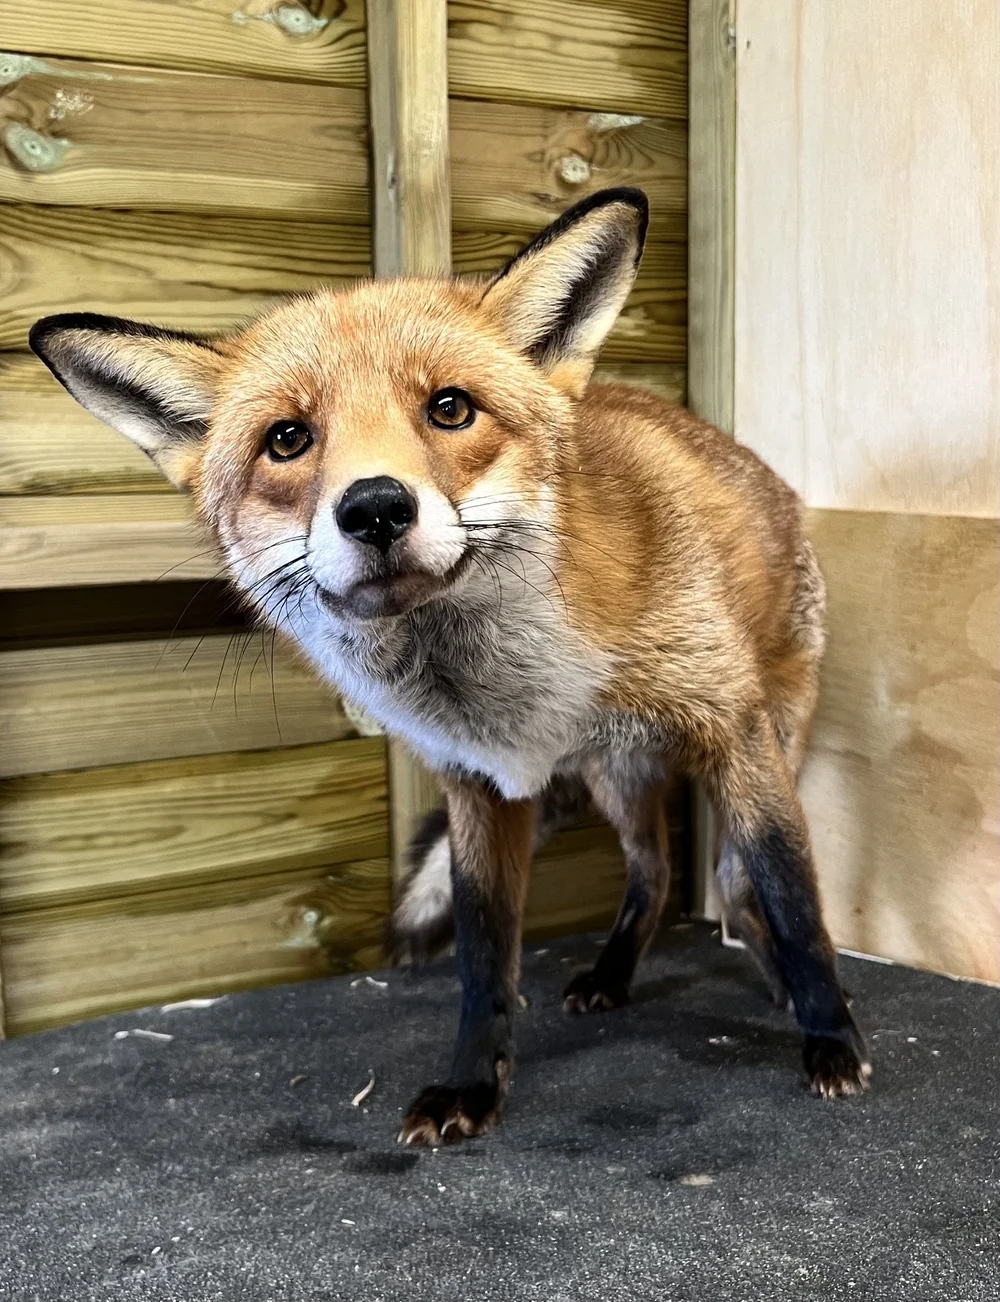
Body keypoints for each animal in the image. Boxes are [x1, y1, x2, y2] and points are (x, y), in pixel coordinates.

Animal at [30, 187, 870, 1145]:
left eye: (451, 409)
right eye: (287, 439)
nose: (375, 508)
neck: (515, 696)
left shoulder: (730, 731)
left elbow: (795, 900)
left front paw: (832, 1035)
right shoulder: (478, 784)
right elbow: (482, 957)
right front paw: (473, 1083)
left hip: (764, 738)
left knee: (729, 878)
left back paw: (777, 985)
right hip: (622, 775)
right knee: (654, 875)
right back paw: (613, 974)